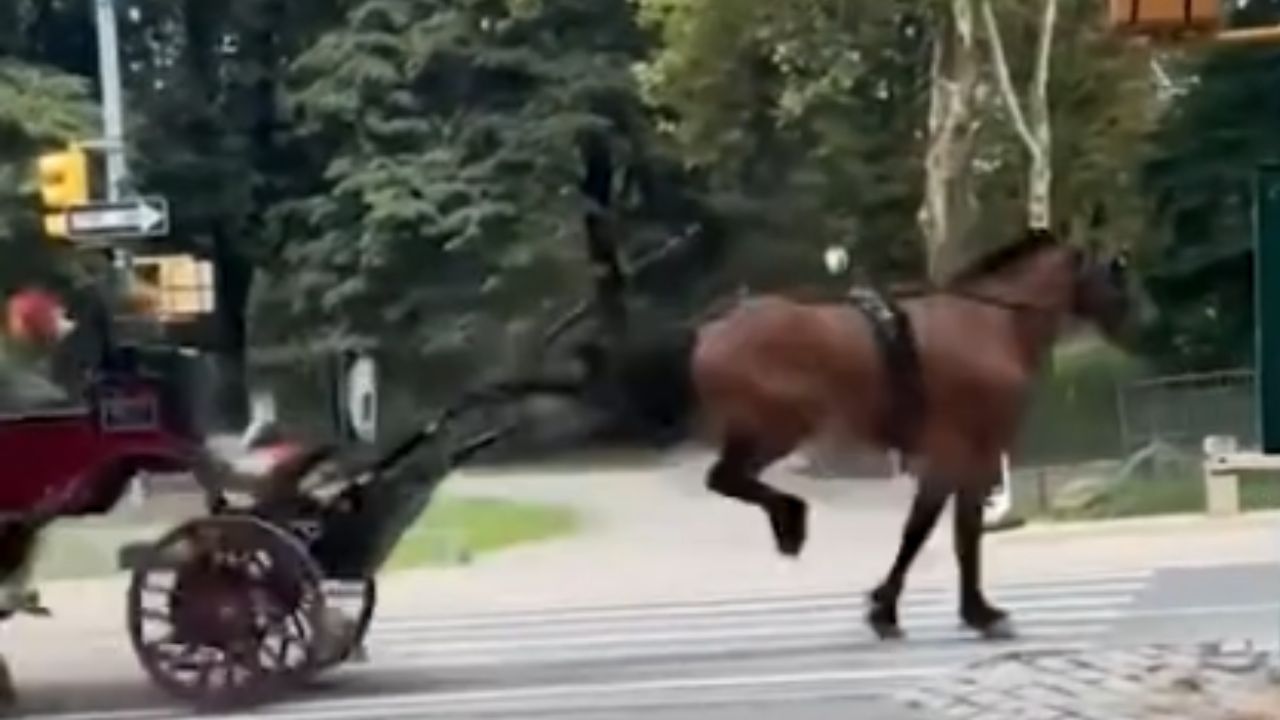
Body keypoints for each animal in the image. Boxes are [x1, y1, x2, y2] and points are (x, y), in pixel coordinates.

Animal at [598, 227, 1139, 641]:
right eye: (1115, 271)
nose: (1141, 320)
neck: (987, 323)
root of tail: (713, 328)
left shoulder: (971, 458)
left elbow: (956, 534)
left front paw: (962, 610)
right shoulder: (957, 454)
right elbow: (928, 532)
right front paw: (896, 610)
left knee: (728, 478)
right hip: (776, 426)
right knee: (726, 477)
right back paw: (790, 520)